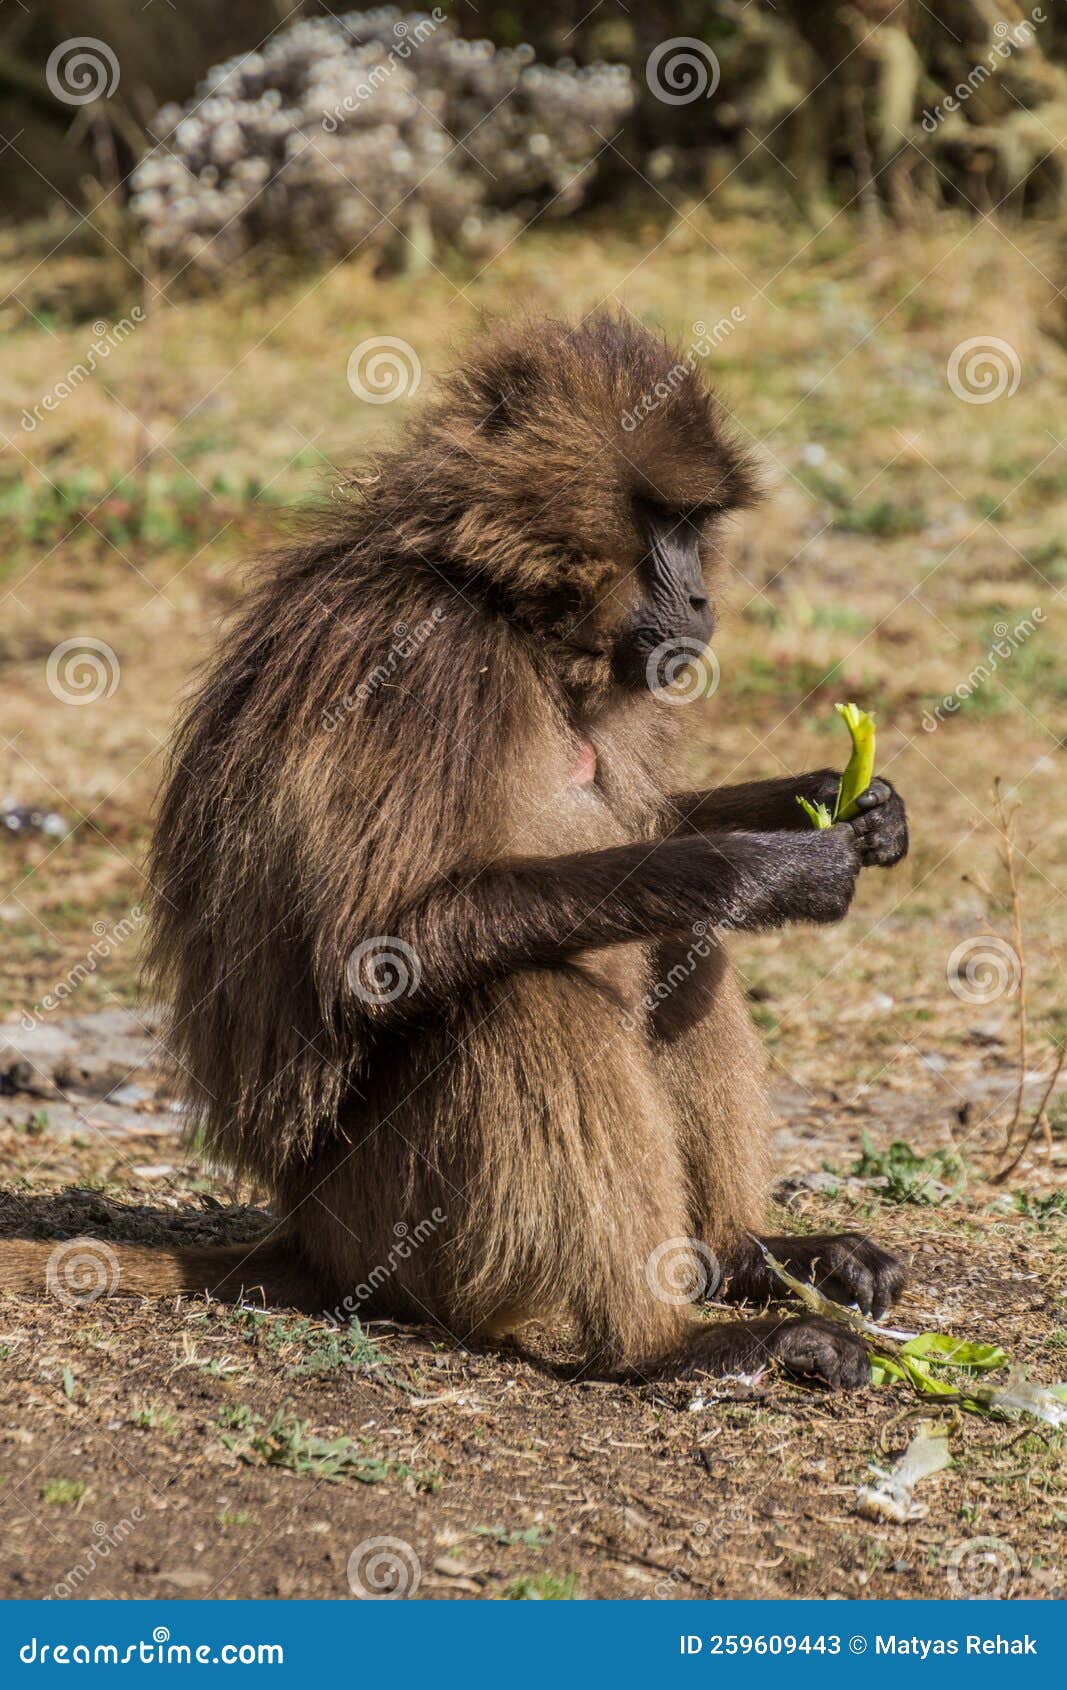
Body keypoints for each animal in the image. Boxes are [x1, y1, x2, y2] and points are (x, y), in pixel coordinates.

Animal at [1, 313, 908, 1390]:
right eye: (660, 522)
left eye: (695, 525)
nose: (697, 600)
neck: (511, 611)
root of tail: (301, 1233)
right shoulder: (414, 668)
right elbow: (378, 941)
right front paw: (763, 868)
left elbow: (644, 827)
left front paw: (848, 806)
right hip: (383, 1217)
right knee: (532, 993)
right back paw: (663, 1342)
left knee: (680, 950)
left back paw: (746, 1255)